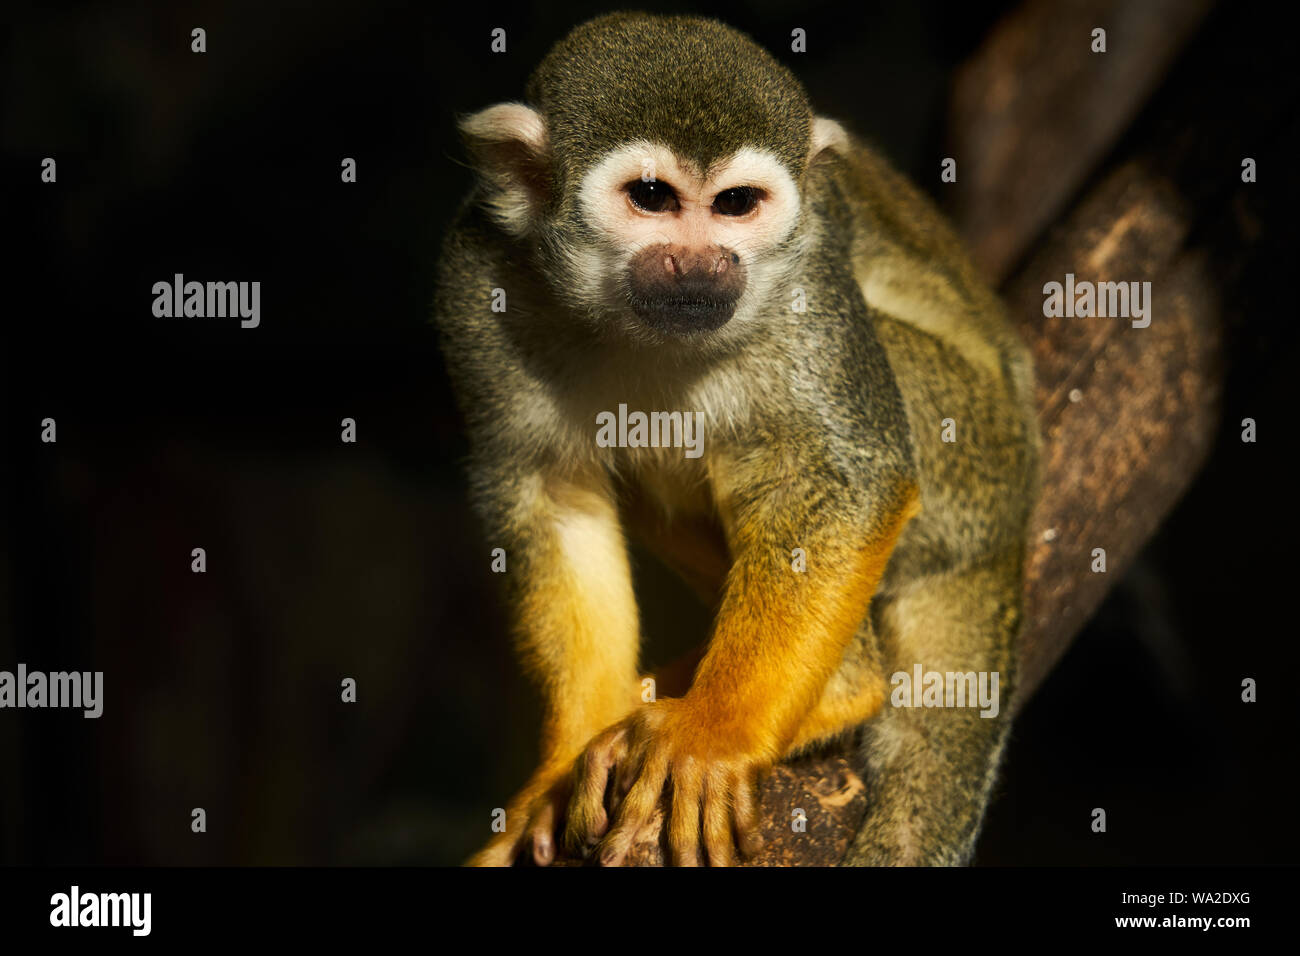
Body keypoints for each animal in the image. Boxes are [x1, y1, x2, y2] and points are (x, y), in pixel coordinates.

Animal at [434, 12, 1040, 867]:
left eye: (736, 204)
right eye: (651, 197)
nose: (700, 261)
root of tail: (1020, 505)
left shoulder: (809, 281)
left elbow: (846, 480)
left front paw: (714, 735)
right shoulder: (476, 279)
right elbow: (549, 496)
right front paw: (557, 772)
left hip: (973, 448)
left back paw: (838, 687)